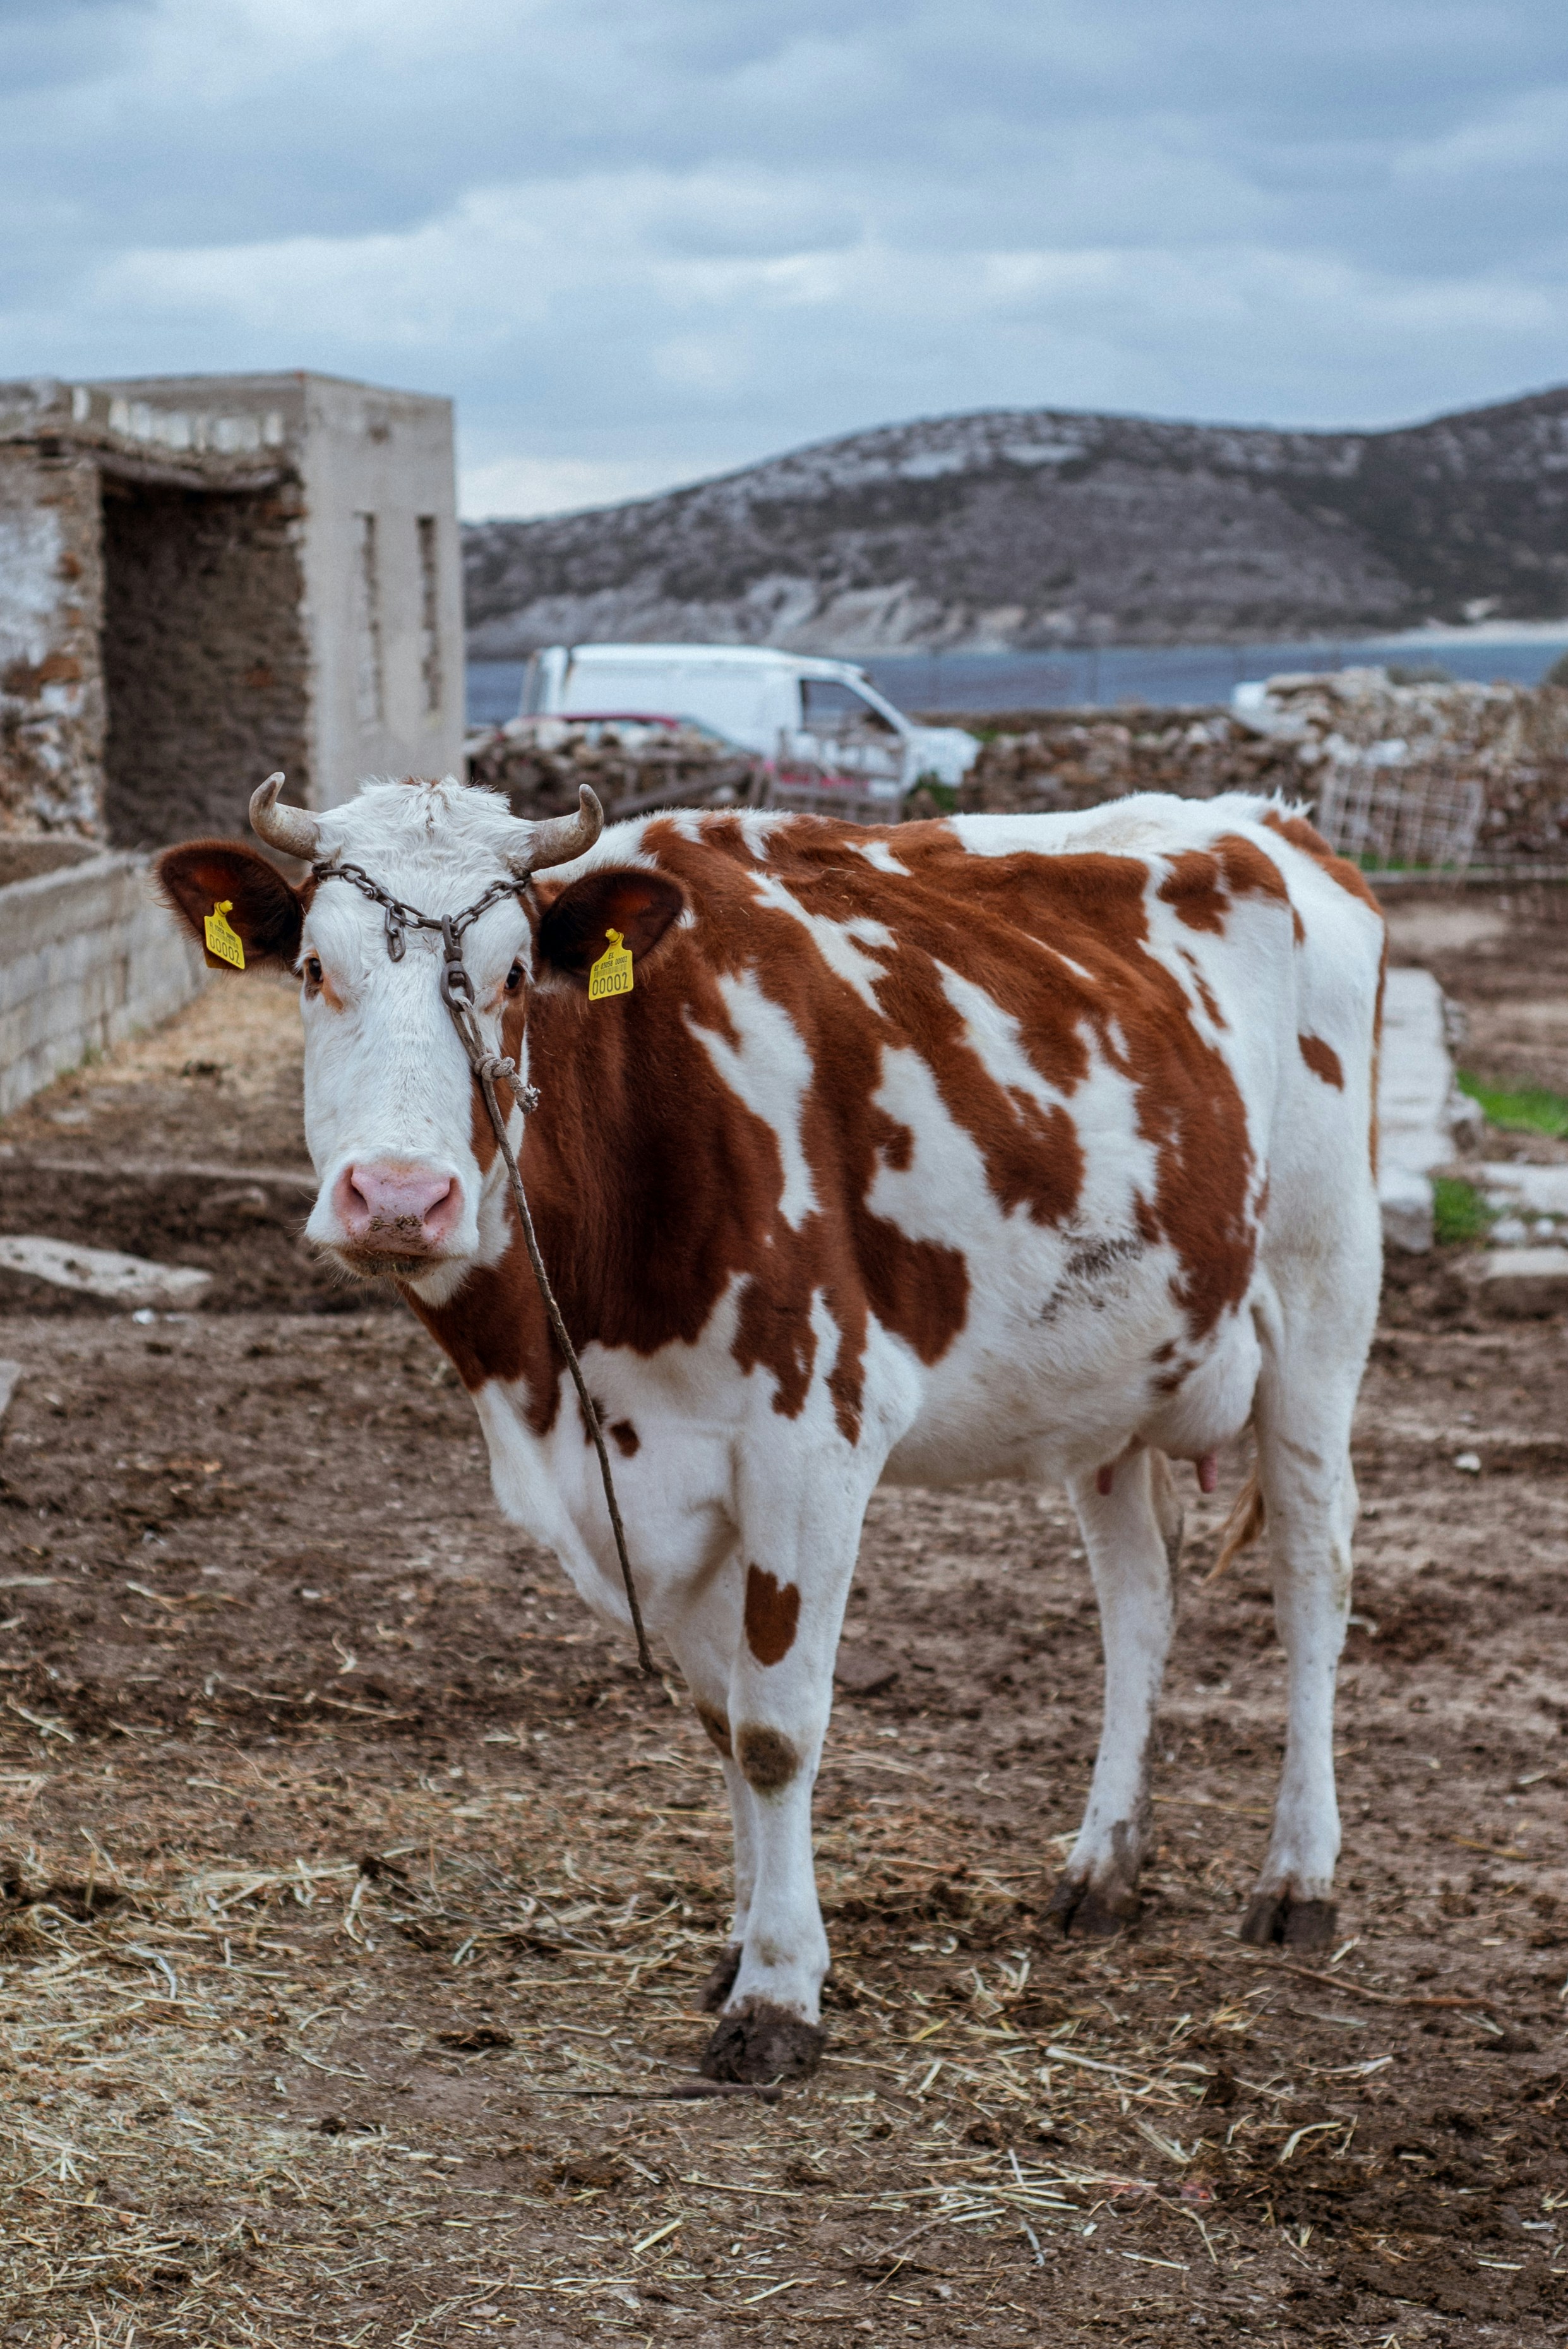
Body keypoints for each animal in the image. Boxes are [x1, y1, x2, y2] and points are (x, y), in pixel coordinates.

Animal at [157, 773, 1385, 2082]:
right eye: (311, 968)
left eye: (509, 973)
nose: (397, 1196)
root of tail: (1273, 819)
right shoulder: (648, 1487)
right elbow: (719, 1716)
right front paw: (738, 1945)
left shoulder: (813, 1431)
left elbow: (775, 1729)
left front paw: (780, 1991)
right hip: (1110, 1376)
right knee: (1137, 1601)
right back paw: (1104, 1863)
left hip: (1318, 1305)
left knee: (1313, 1573)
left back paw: (1298, 1876)